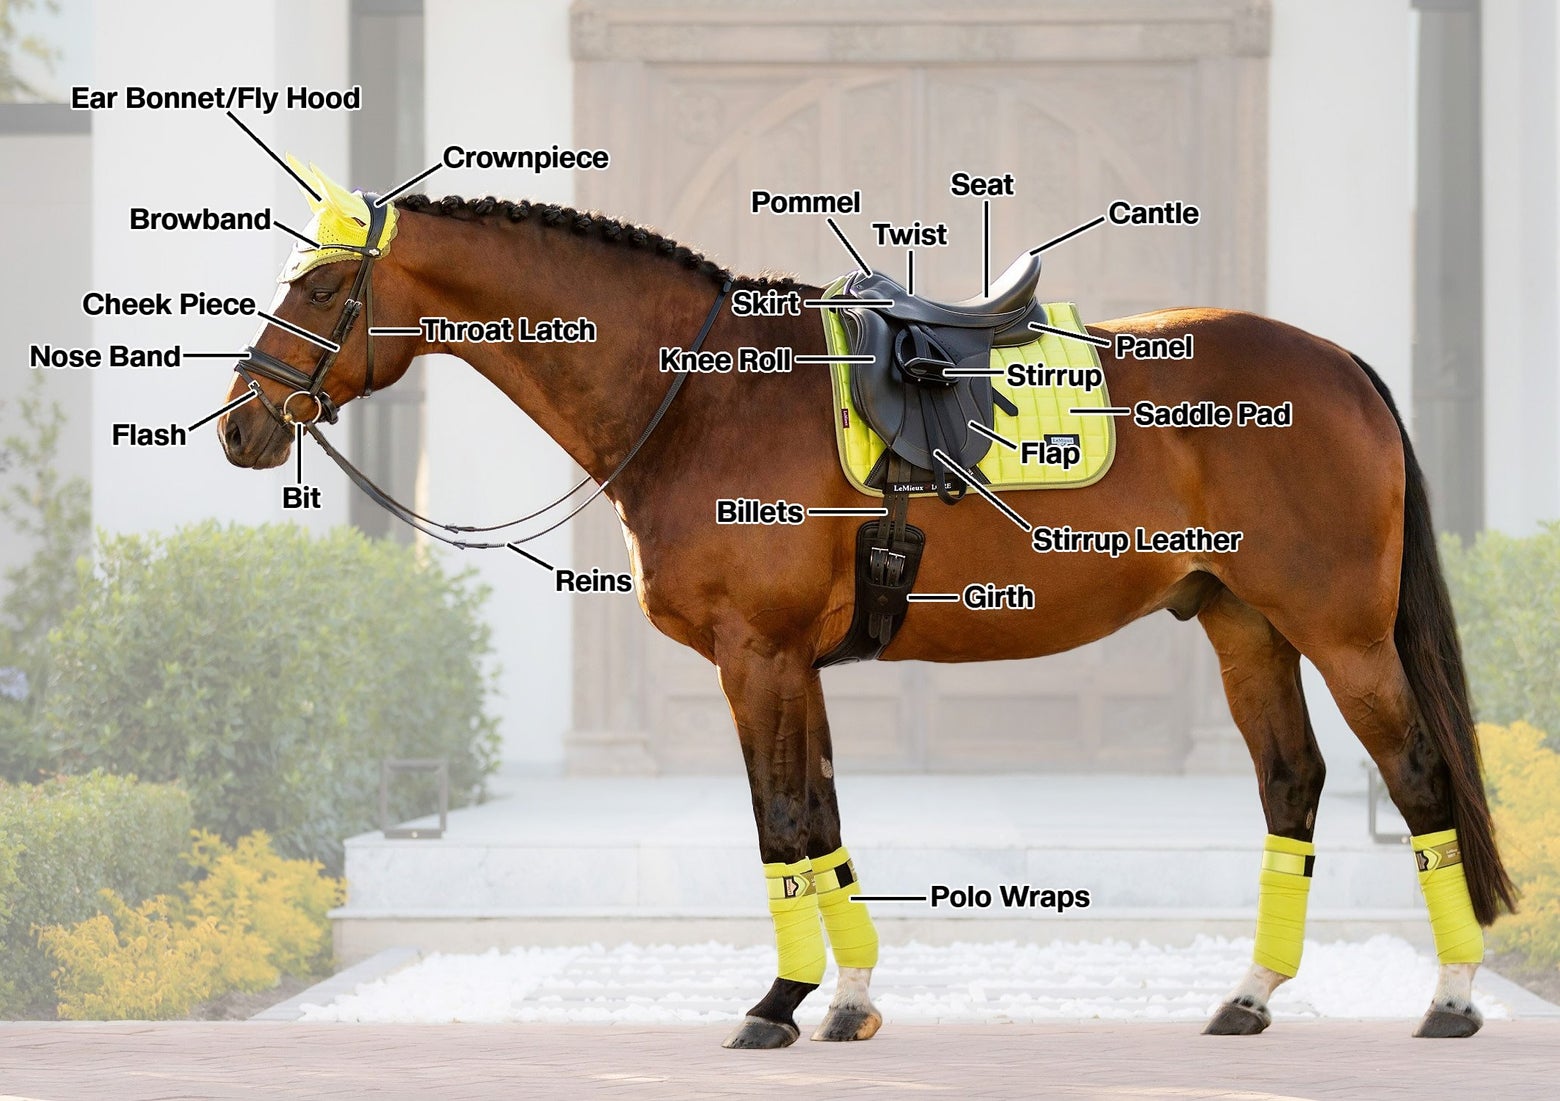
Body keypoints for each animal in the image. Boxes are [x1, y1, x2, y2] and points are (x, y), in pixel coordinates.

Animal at [216, 167, 1515, 1048]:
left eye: (322, 283)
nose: (240, 426)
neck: (704, 398)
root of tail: (1343, 366)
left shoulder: (757, 656)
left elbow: (782, 820)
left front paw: (778, 1002)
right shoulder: (799, 665)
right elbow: (826, 825)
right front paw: (847, 1001)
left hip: (1343, 634)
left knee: (1417, 779)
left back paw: (1451, 998)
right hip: (1245, 626)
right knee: (1291, 785)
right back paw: (1248, 997)